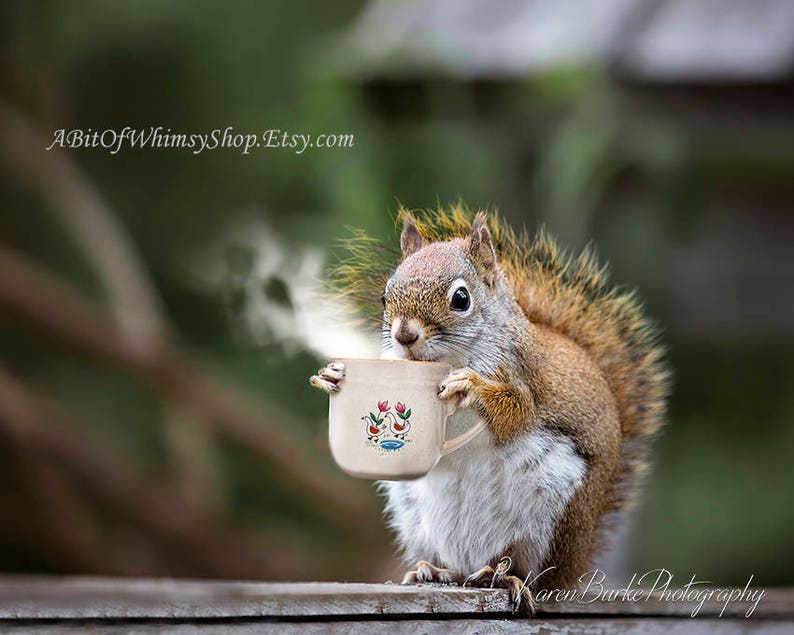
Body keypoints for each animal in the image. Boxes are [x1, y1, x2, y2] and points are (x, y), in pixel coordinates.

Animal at [310, 206, 669, 611]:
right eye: (385, 297)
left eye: (461, 298)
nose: (404, 336)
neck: (446, 360)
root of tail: (576, 566)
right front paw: (333, 376)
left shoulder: (523, 378)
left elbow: (515, 413)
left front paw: (470, 387)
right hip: (415, 519)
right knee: (455, 565)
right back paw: (436, 572)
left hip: (553, 520)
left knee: (533, 572)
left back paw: (502, 576)